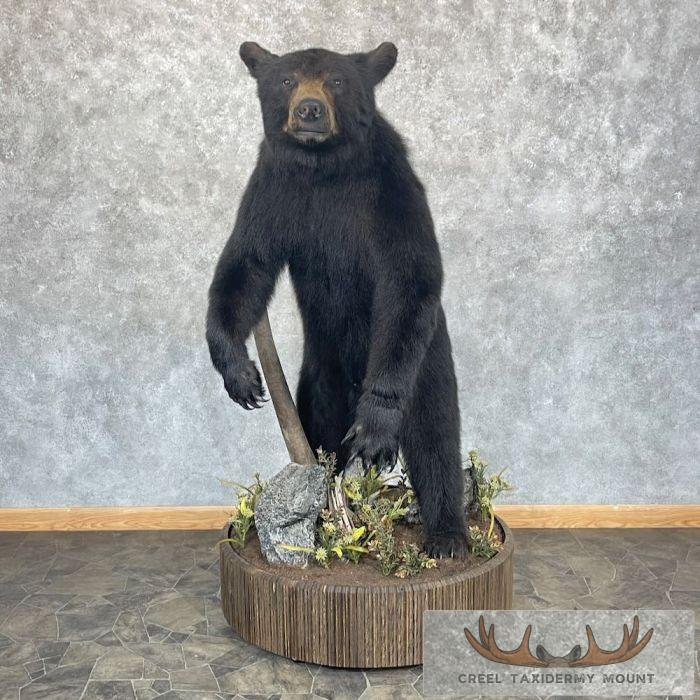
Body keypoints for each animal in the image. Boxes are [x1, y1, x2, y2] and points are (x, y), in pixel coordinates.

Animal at [206, 42, 467, 557]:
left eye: (337, 81)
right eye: (287, 79)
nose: (310, 110)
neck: (324, 171)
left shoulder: (390, 192)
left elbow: (410, 277)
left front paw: (375, 427)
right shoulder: (273, 191)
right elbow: (245, 265)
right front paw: (241, 375)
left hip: (425, 364)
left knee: (436, 436)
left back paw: (447, 535)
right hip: (318, 373)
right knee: (319, 430)